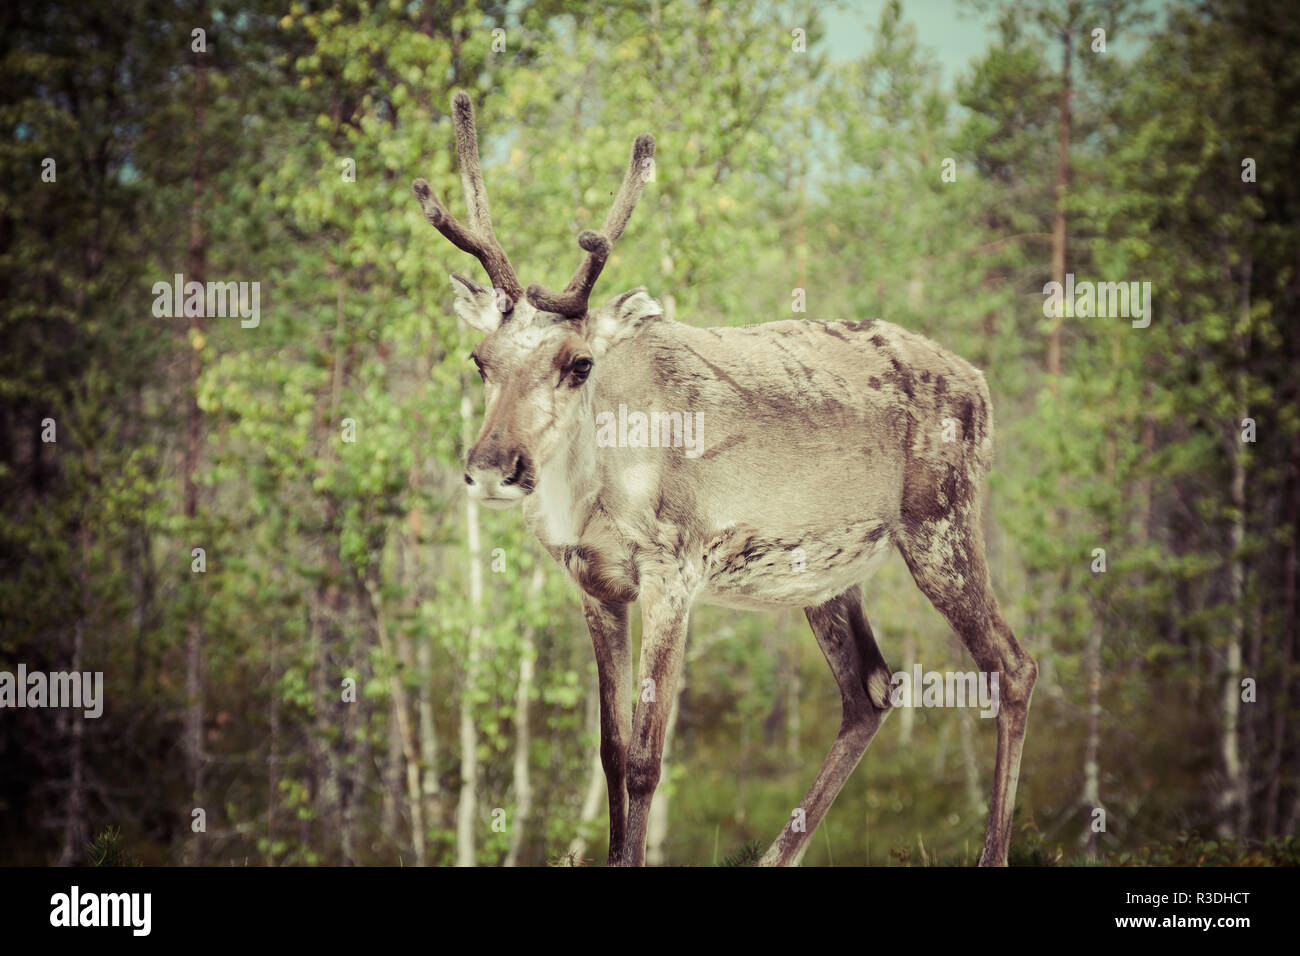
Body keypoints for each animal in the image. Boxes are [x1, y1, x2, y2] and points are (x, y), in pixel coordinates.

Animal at [412, 91, 1037, 867]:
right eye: (479, 360)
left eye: (579, 363)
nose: (494, 467)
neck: (593, 497)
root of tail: (980, 382)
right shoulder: (594, 585)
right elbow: (609, 750)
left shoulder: (674, 569)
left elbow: (646, 759)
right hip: (826, 571)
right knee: (870, 688)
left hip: (940, 524)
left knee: (1012, 665)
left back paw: (992, 849)